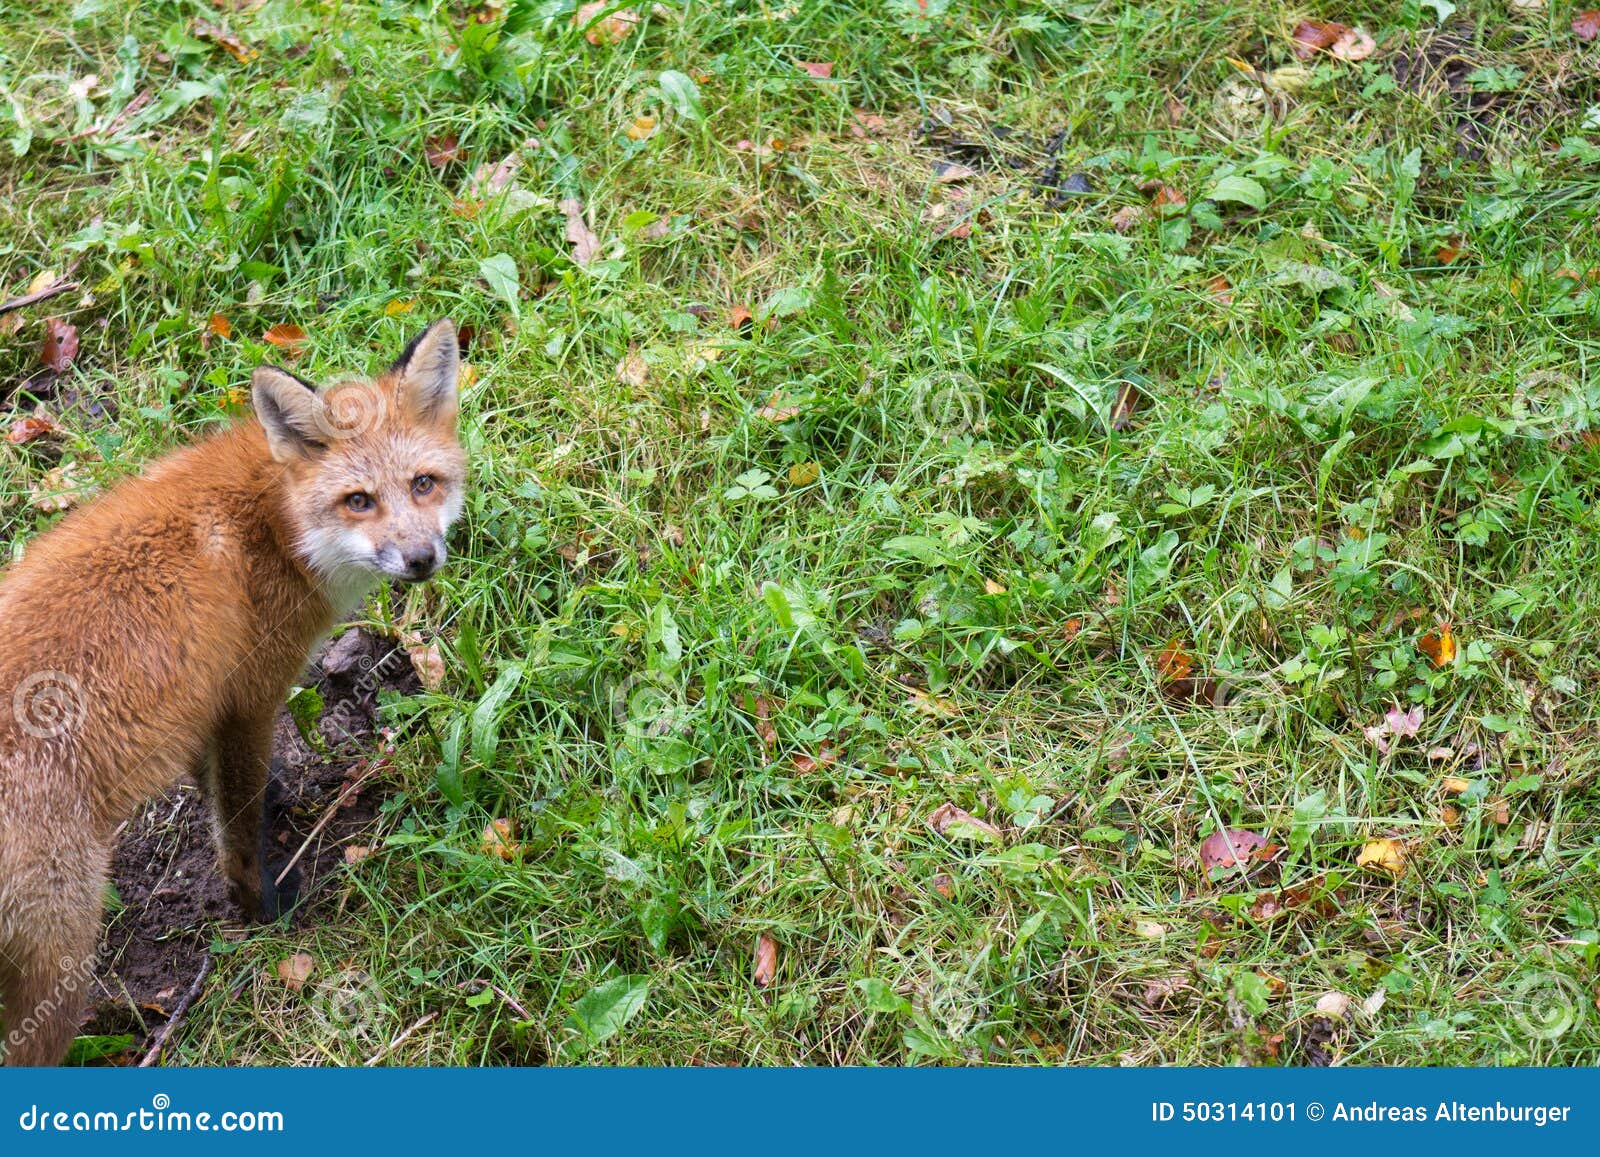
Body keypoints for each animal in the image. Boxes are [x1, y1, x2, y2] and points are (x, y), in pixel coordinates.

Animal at [0, 319, 466, 1065]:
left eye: (424, 483)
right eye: (359, 500)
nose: (422, 560)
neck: (275, 524)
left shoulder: (204, 701)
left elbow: (214, 781)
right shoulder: (251, 695)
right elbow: (237, 825)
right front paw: (259, 907)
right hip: (60, 959)